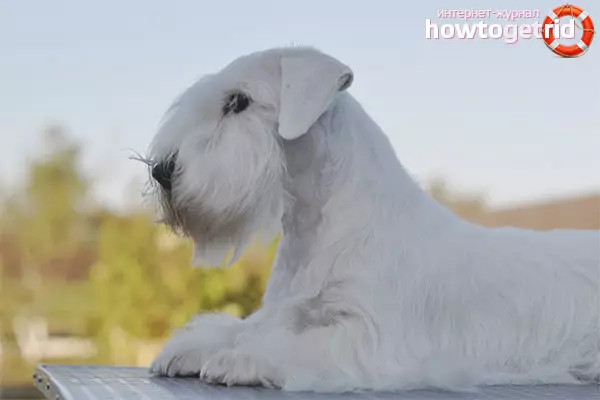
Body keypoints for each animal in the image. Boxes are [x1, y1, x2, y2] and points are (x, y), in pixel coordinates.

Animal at [142, 46, 600, 390]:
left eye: (238, 101)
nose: (161, 170)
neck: (316, 227)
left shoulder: (368, 337)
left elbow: (289, 344)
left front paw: (240, 359)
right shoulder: (282, 311)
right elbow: (238, 327)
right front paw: (189, 349)